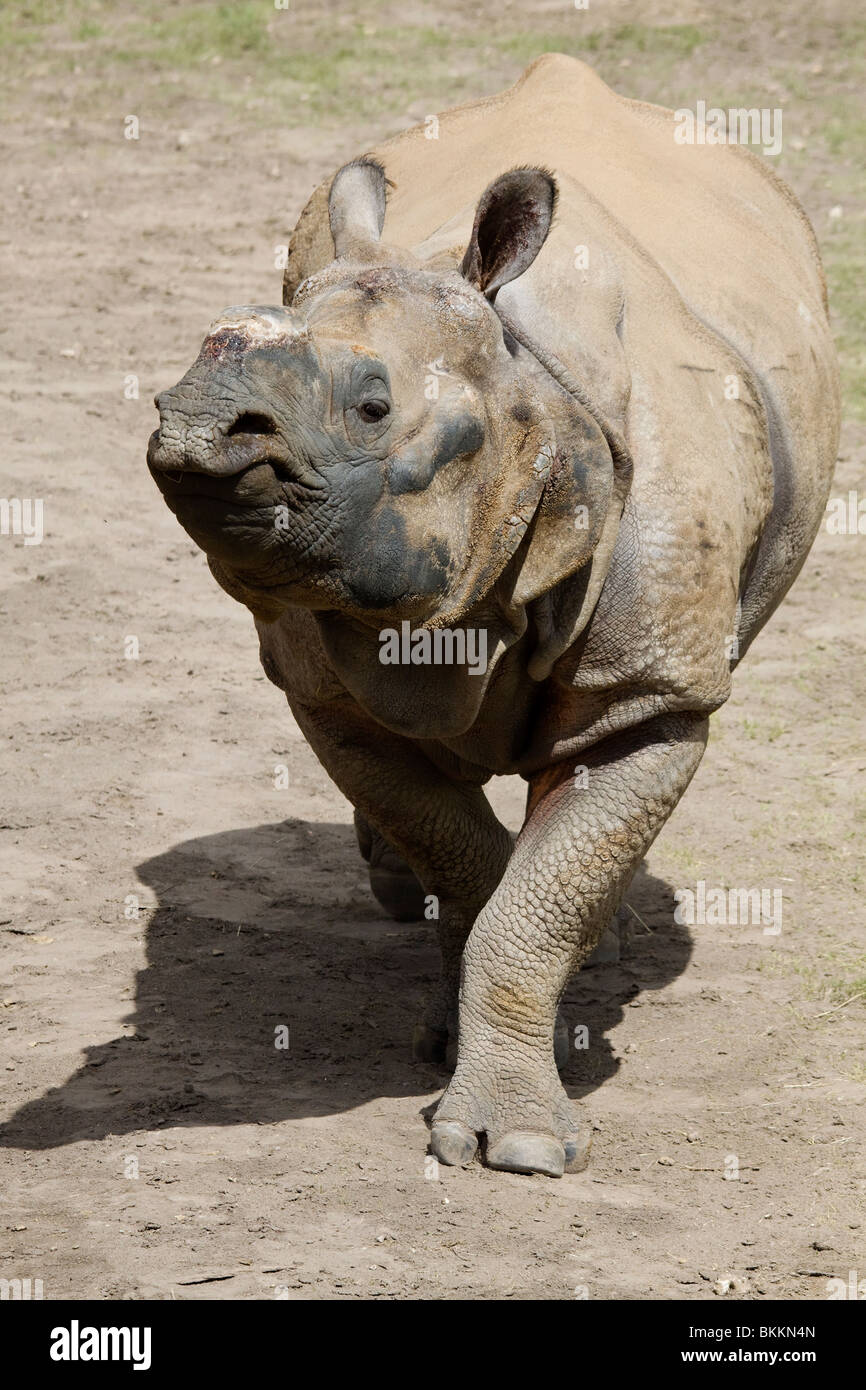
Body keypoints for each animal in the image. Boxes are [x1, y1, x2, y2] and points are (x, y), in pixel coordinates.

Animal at [147, 55, 839, 1176]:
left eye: (373, 408)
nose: (193, 424)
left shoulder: (649, 691)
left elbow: (537, 896)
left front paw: (516, 1147)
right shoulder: (326, 693)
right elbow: (467, 870)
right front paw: (455, 1047)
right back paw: (398, 890)